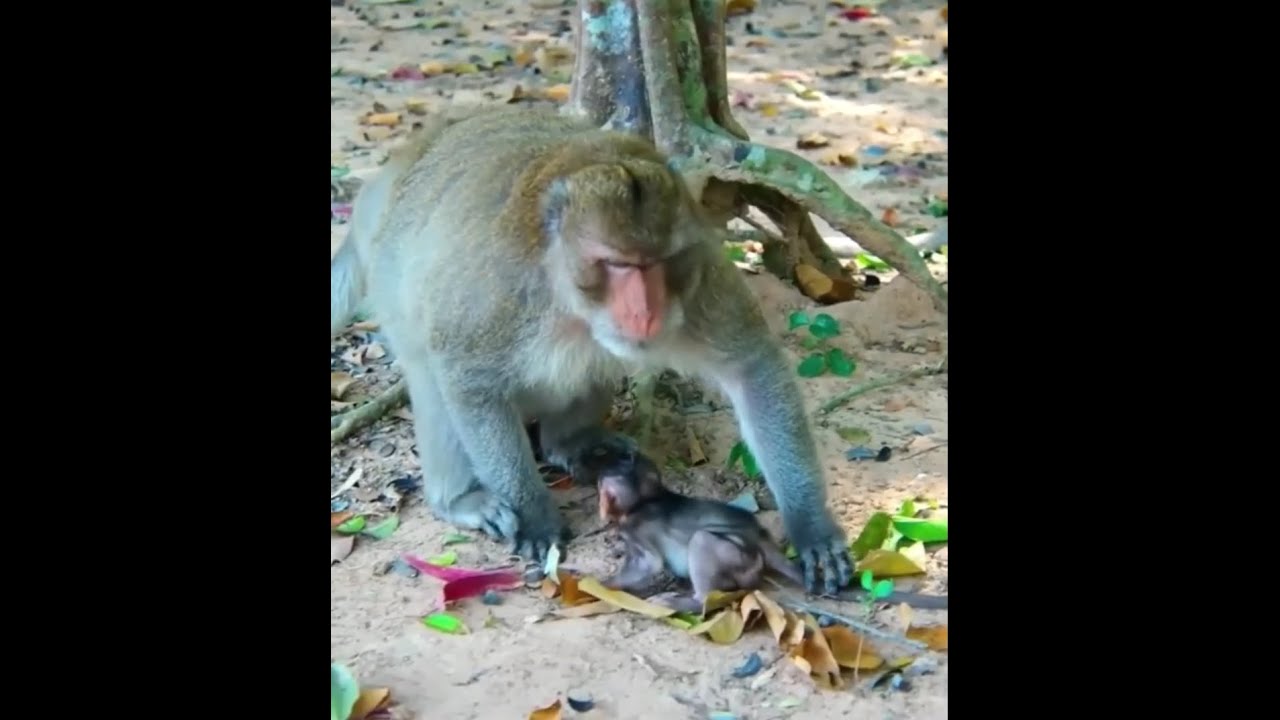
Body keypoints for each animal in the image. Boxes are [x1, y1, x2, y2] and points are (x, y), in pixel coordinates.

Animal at [330, 106, 854, 594]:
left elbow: (752, 367)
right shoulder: (501, 289)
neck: (566, 287)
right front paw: (531, 509)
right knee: (430, 372)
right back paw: (459, 499)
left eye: (657, 263)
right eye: (617, 265)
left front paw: (811, 525)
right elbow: (465, 378)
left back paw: (571, 443)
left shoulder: (699, 272)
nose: (644, 312)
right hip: (392, 282)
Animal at [598, 450, 949, 611]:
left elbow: (648, 564)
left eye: (621, 462)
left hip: (734, 555)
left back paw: (690, 600)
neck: (649, 498)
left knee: (703, 544)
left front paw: (602, 583)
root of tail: (762, 539)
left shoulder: (638, 529)